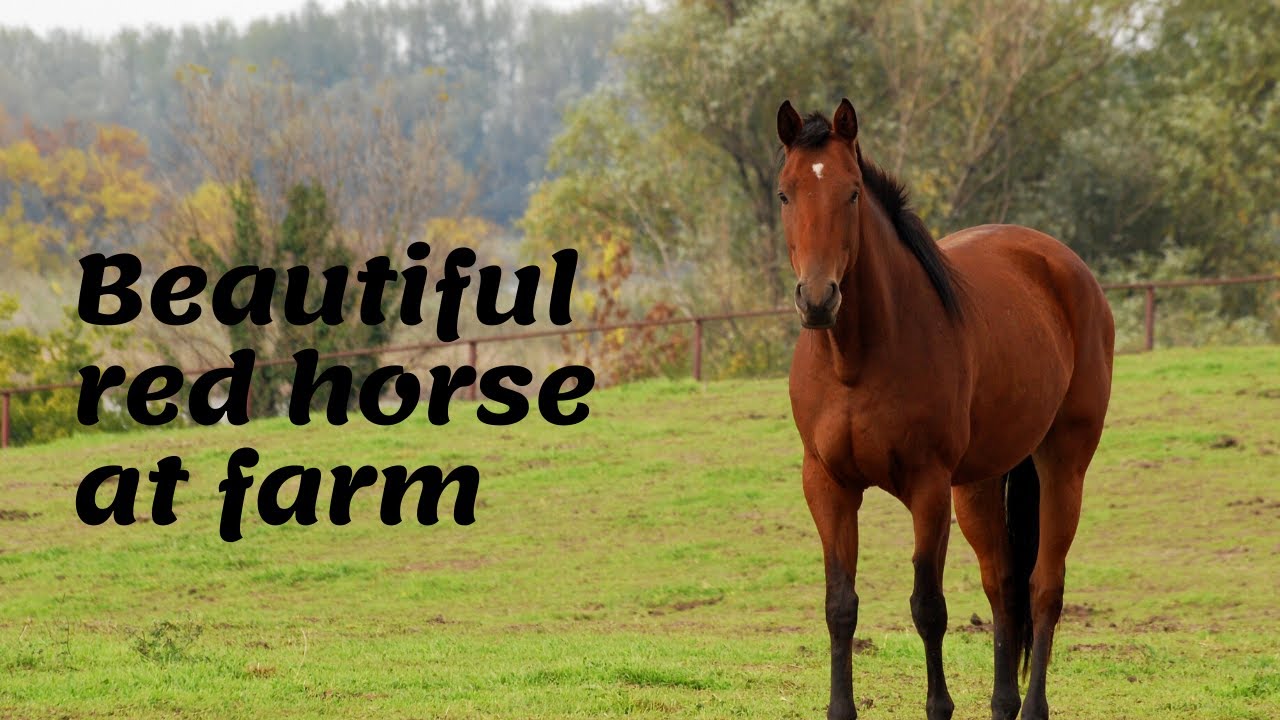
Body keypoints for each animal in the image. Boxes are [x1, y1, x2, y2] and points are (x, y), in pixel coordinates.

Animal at [777, 99, 1114, 720]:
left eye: (852, 193)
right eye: (786, 194)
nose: (817, 299)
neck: (857, 358)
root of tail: (1060, 263)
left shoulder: (928, 487)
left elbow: (928, 606)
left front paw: (939, 705)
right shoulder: (828, 485)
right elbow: (841, 604)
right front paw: (841, 708)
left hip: (1063, 464)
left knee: (1044, 587)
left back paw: (1033, 707)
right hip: (979, 484)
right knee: (1003, 586)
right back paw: (1003, 703)